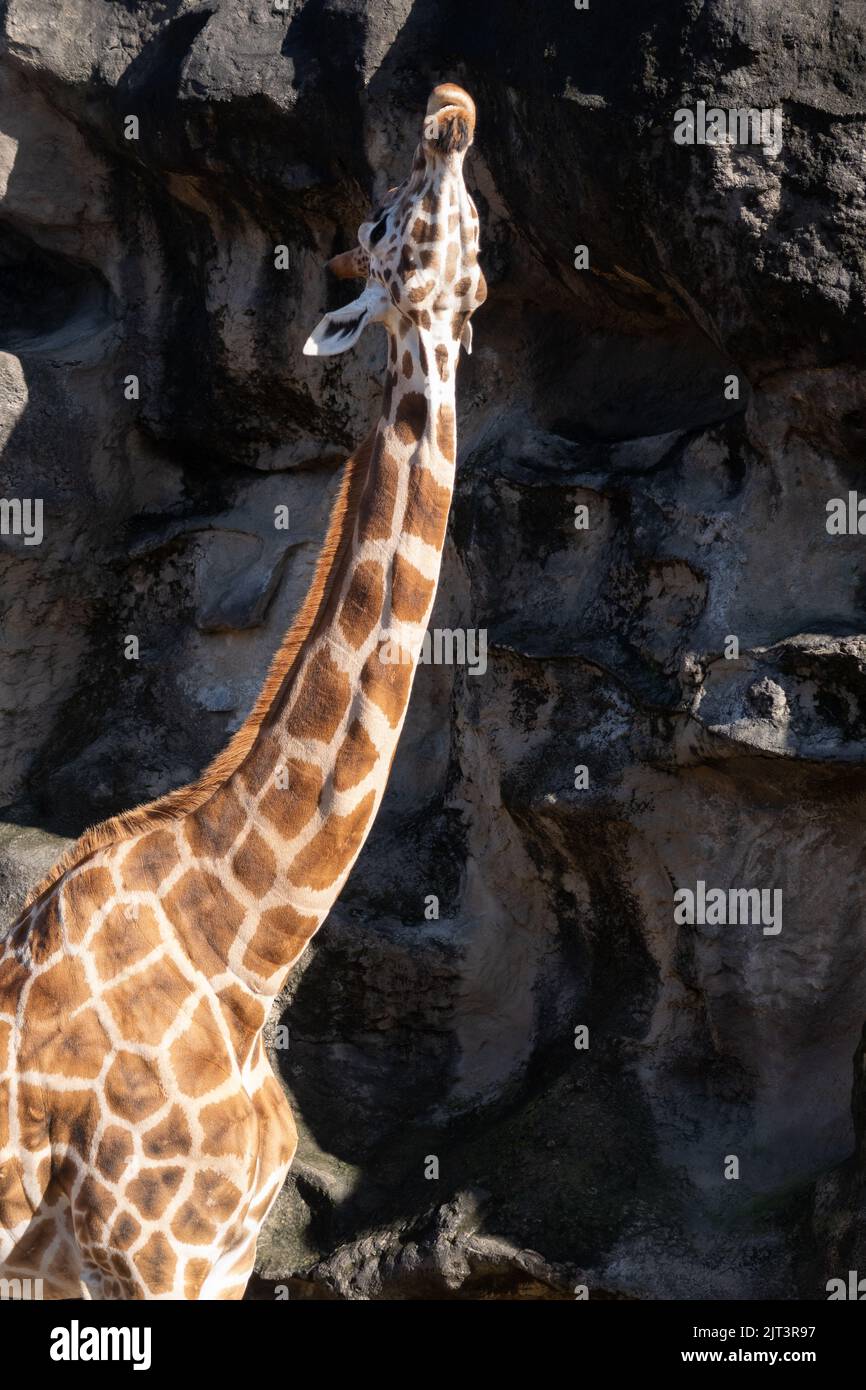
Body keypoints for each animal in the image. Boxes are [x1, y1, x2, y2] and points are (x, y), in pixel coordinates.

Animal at [0, 83, 485, 1300]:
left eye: (481, 257)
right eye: (384, 216)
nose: (449, 108)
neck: (245, 942)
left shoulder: (214, 1257)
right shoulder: (152, 1253)